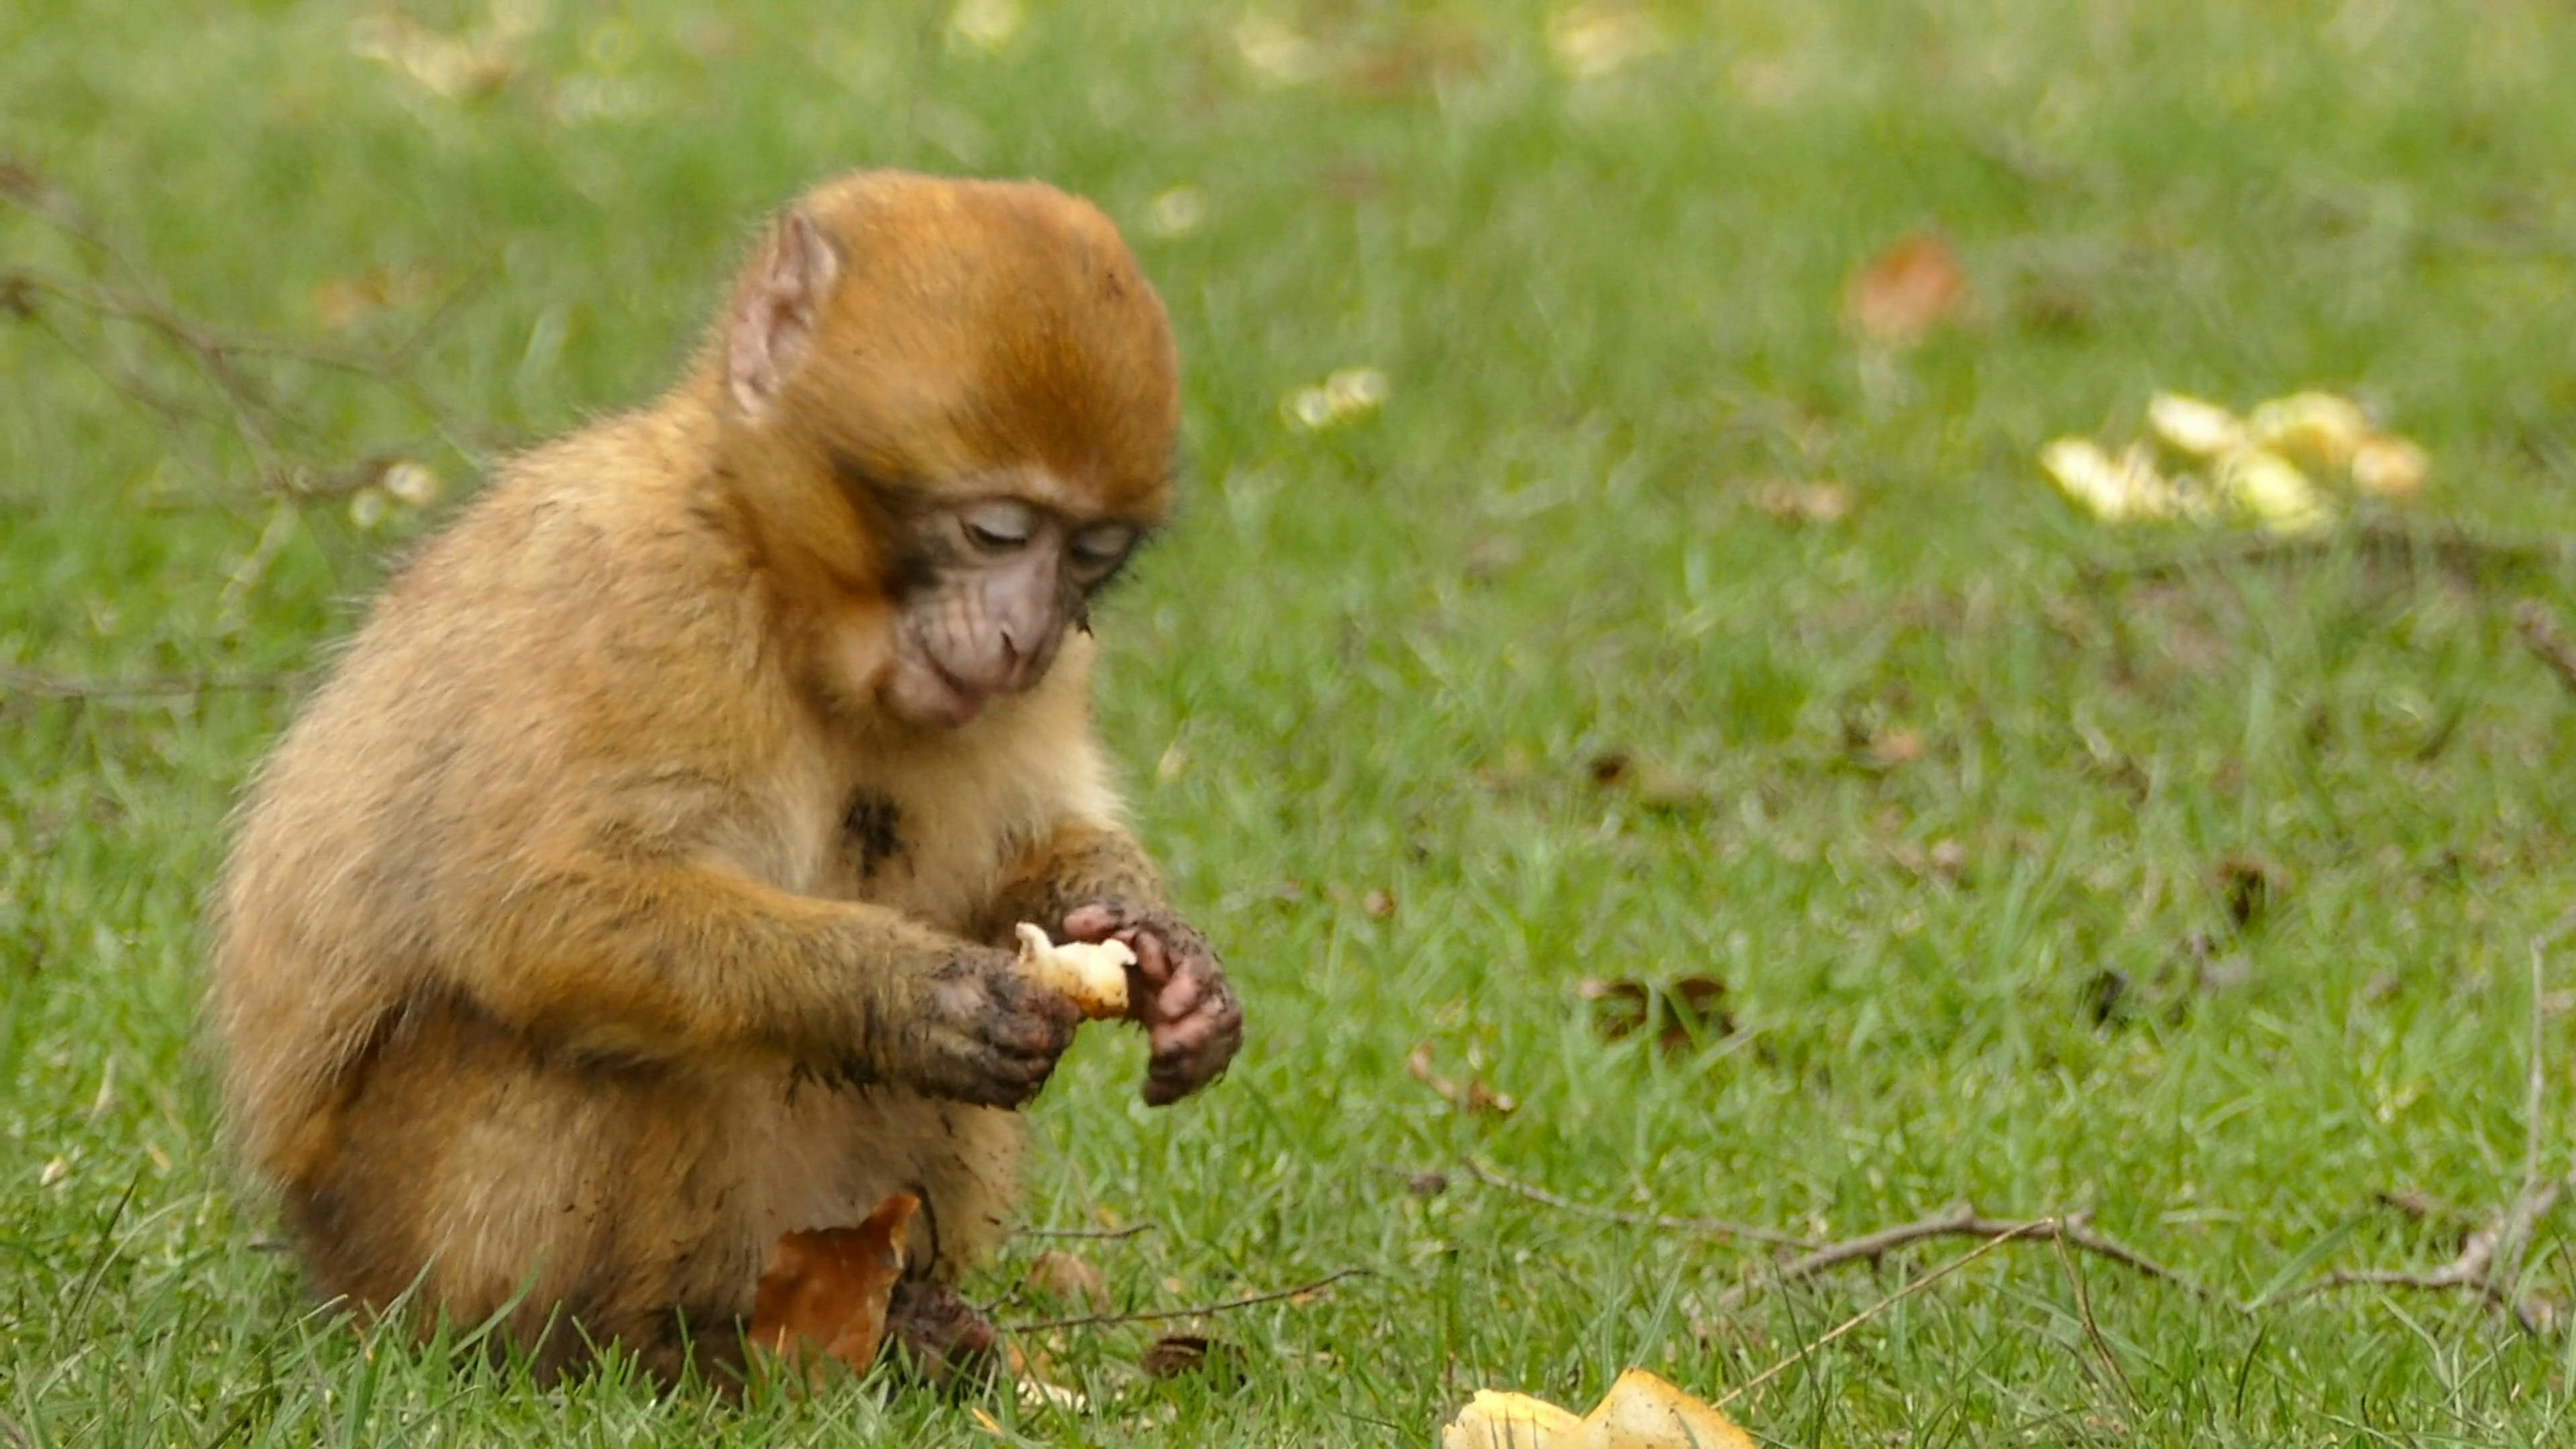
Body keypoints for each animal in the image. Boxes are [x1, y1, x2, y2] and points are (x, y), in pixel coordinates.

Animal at [205, 168, 1243, 1388]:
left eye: (1089, 555)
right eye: (995, 531)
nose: (1024, 635)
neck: (783, 590)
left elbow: (1029, 858)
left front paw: (1162, 956)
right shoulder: (645, 595)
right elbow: (532, 911)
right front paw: (909, 994)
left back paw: (904, 1323)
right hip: (401, 1236)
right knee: (581, 1043)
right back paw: (644, 1352)